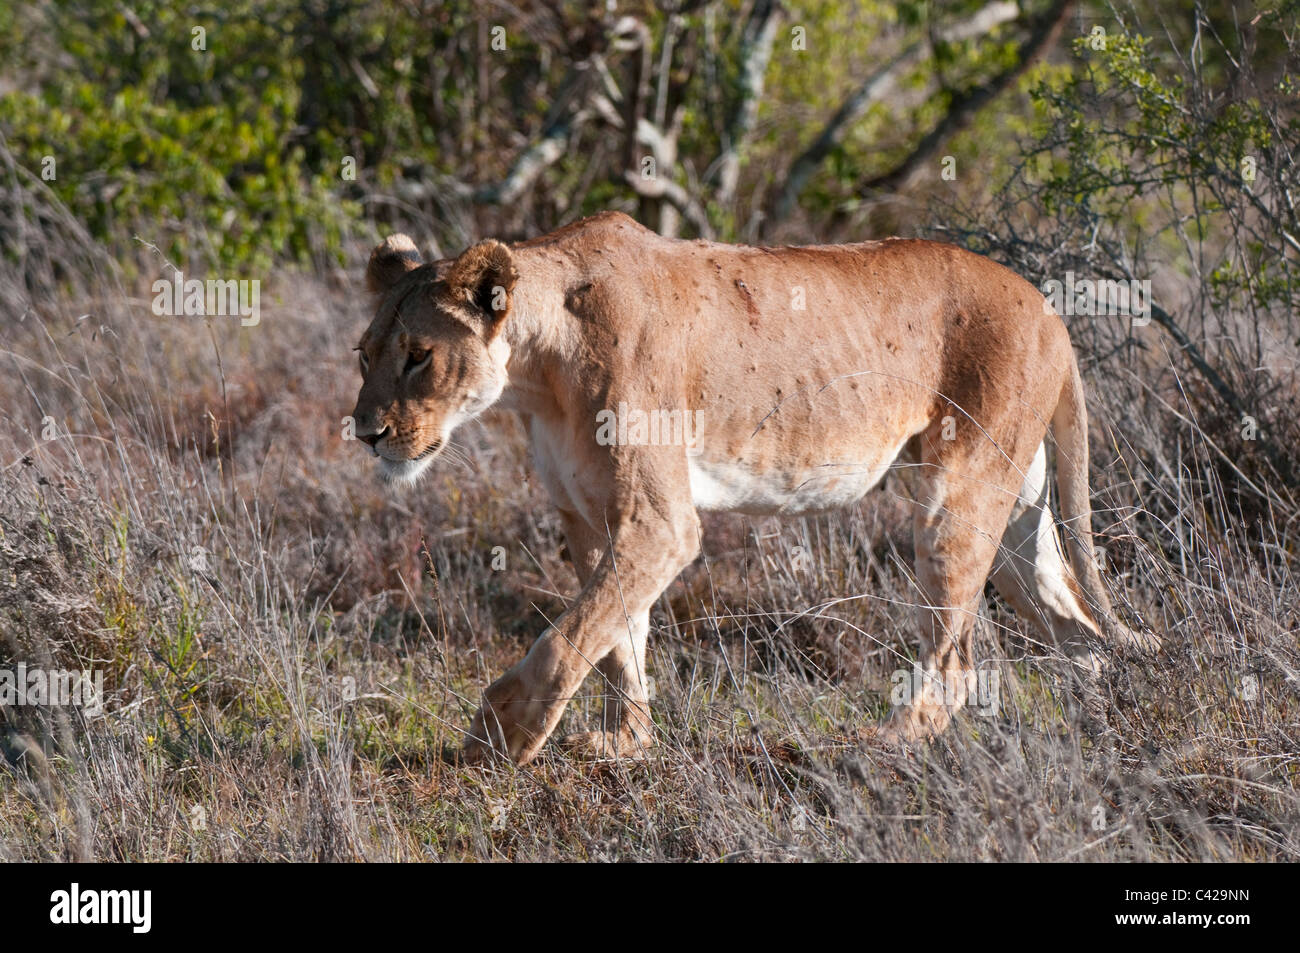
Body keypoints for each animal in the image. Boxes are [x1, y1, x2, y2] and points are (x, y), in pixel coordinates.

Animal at [350, 211, 1158, 765]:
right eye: (365, 355)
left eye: (419, 356)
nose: (364, 433)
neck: (537, 371)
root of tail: (1049, 307)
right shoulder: (588, 513)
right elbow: (615, 630)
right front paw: (623, 740)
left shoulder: (662, 521)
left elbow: (570, 632)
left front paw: (504, 731)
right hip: (1019, 515)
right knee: (1082, 637)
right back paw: (1096, 736)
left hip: (955, 496)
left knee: (957, 663)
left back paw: (878, 743)